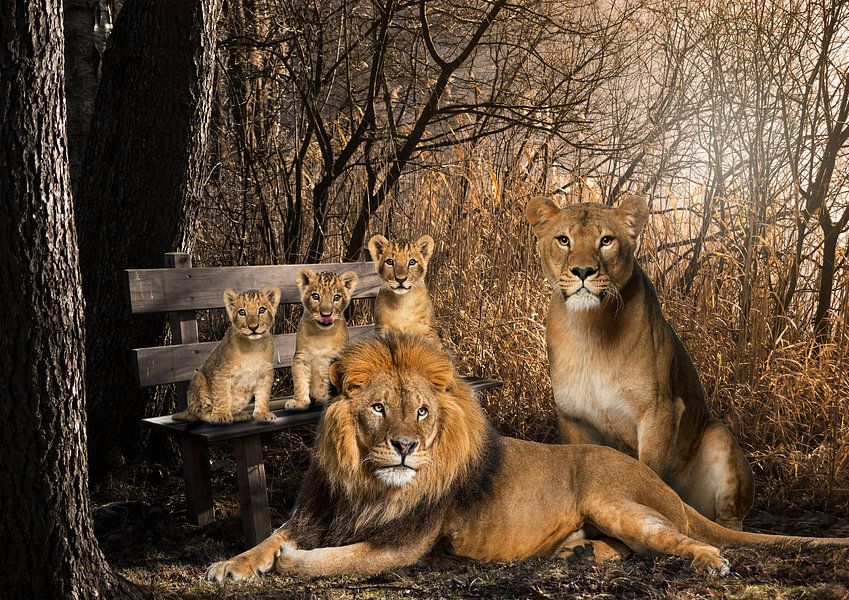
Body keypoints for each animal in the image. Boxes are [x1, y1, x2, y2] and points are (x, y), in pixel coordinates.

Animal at [173, 287, 281, 424]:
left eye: (262, 310)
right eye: (242, 312)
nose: (253, 327)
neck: (253, 346)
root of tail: (187, 409)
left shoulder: (265, 374)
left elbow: (263, 395)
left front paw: (263, 414)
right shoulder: (221, 372)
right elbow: (222, 395)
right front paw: (221, 415)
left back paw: (238, 415)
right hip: (199, 379)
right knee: (199, 413)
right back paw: (214, 416)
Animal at [205, 334, 847, 582]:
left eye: (422, 414)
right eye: (379, 409)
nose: (406, 448)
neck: (363, 483)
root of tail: (653, 477)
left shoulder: (400, 545)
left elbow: (331, 560)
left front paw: (290, 564)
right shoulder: (312, 513)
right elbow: (266, 539)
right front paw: (230, 564)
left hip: (615, 500)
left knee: (682, 537)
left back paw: (708, 561)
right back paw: (579, 556)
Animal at [285, 269, 358, 411]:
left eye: (336, 297)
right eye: (315, 296)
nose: (326, 315)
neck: (321, 334)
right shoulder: (301, 357)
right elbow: (300, 381)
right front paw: (299, 402)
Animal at [525, 194, 754, 529]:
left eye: (606, 240)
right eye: (563, 240)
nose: (583, 271)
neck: (590, 332)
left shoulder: (660, 411)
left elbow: (650, 472)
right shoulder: (573, 416)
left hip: (718, 435)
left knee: (729, 515)